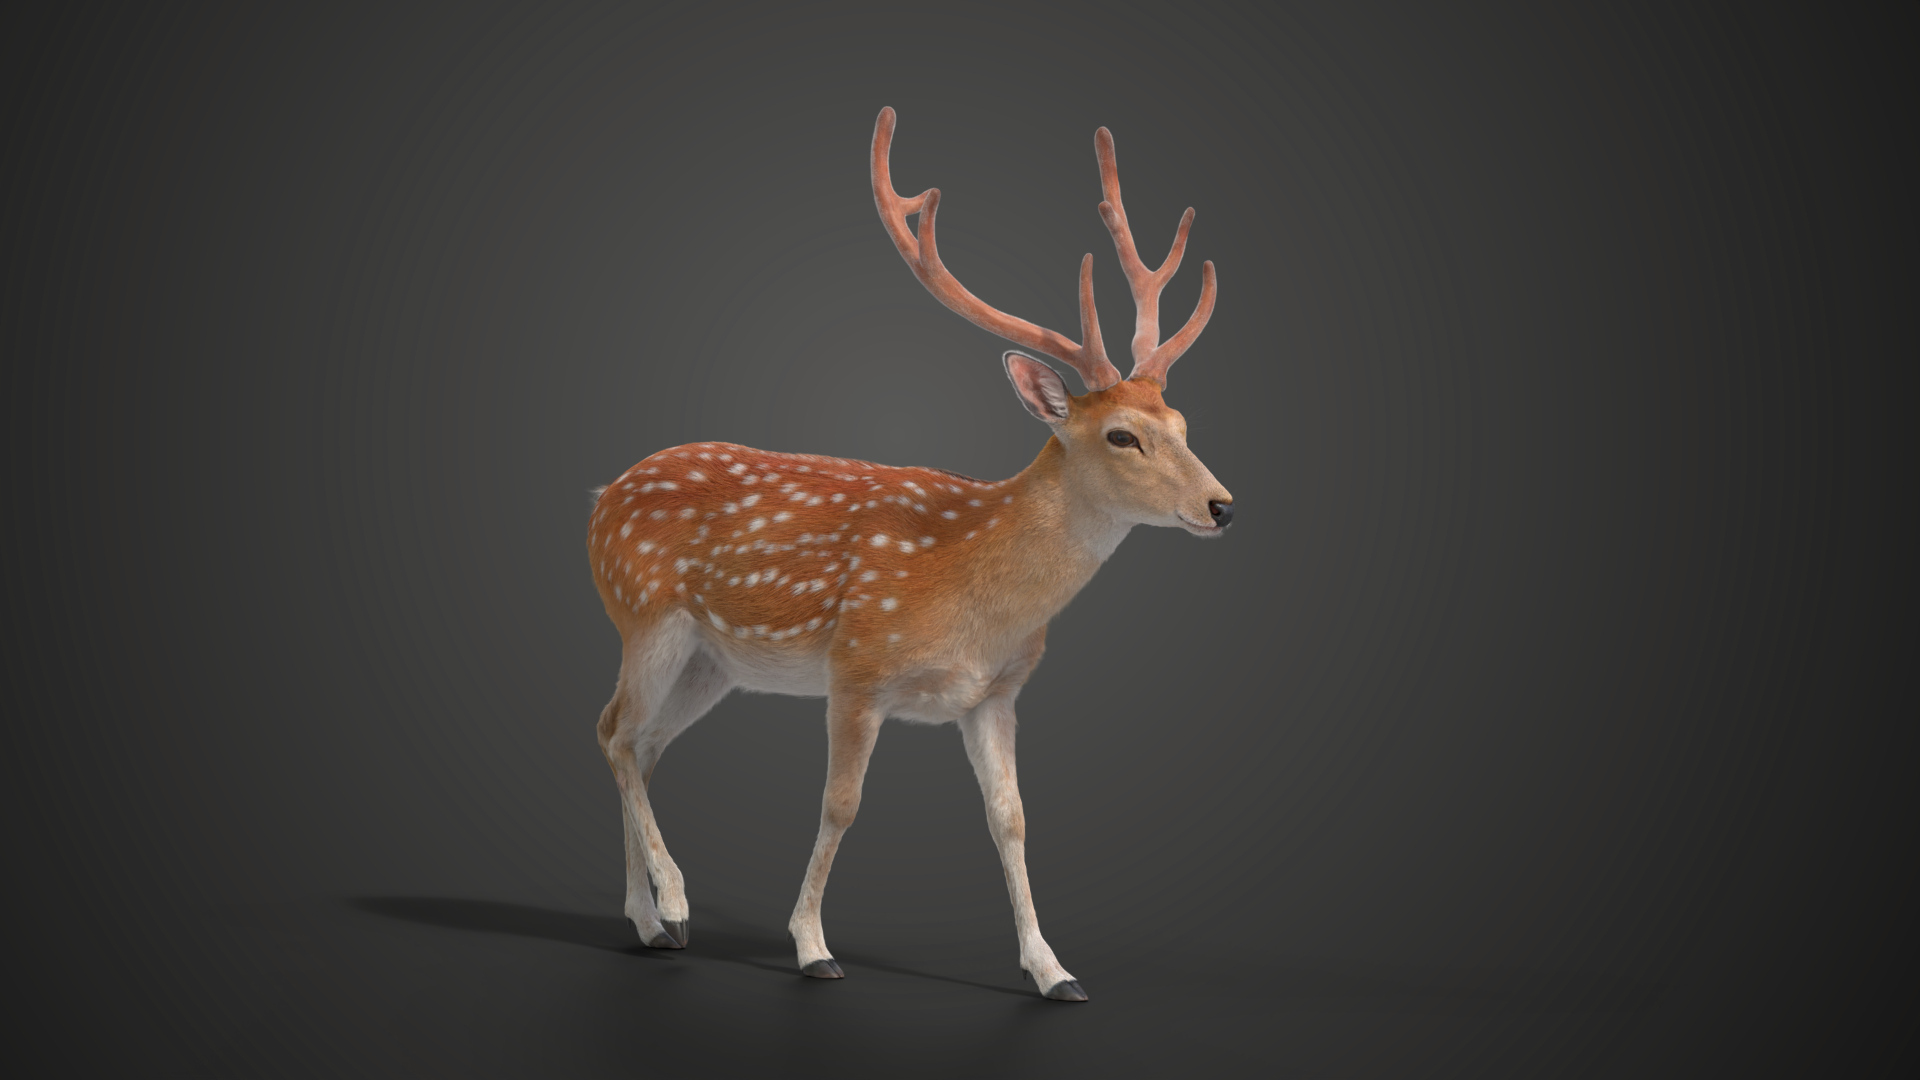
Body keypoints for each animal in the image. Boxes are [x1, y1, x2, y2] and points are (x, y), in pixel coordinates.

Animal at [585, 106, 1233, 1002]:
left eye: (1182, 425)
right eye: (1121, 435)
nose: (1222, 505)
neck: (972, 592)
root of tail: (600, 498)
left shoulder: (996, 695)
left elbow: (1011, 819)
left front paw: (1053, 970)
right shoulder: (858, 666)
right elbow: (841, 803)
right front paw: (812, 947)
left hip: (712, 661)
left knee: (640, 744)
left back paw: (649, 922)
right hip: (646, 618)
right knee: (614, 733)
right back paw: (675, 902)